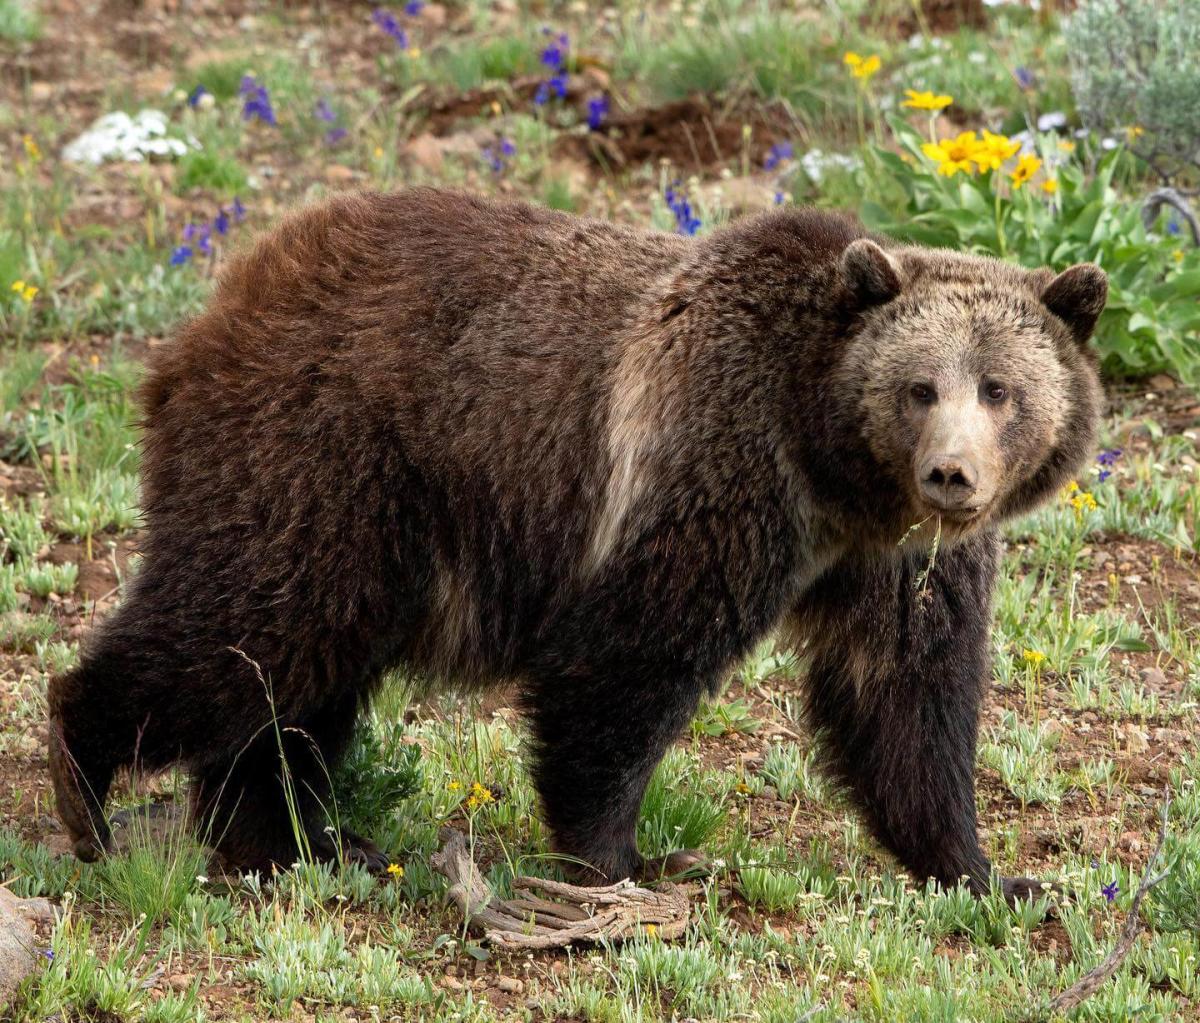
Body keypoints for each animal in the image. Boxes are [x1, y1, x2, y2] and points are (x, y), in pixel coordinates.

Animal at [48, 188, 1105, 898]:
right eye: (921, 386)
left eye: (1001, 388)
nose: (952, 475)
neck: (834, 470)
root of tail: (222, 298)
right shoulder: (716, 467)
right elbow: (628, 667)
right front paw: (625, 857)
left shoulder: (896, 561)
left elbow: (908, 702)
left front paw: (989, 872)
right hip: (325, 459)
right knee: (245, 628)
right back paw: (89, 786)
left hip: (365, 522)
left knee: (296, 674)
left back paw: (295, 838)